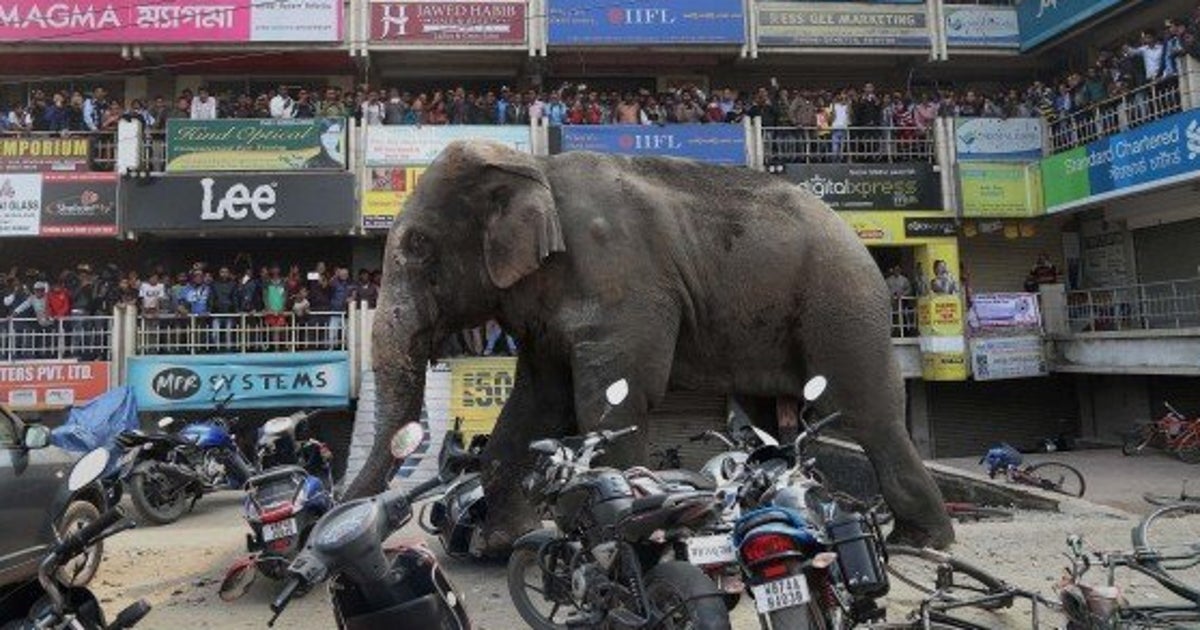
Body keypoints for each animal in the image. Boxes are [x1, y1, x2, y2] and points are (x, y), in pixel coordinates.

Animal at [343, 139, 955, 551]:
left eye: (418, 246)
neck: (533, 166)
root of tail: (861, 239)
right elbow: (535, 406)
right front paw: (501, 545)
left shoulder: (622, 280)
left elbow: (612, 403)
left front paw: (614, 537)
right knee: (768, 418)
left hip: (842, 302)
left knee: (862, 412)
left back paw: (922, 541)